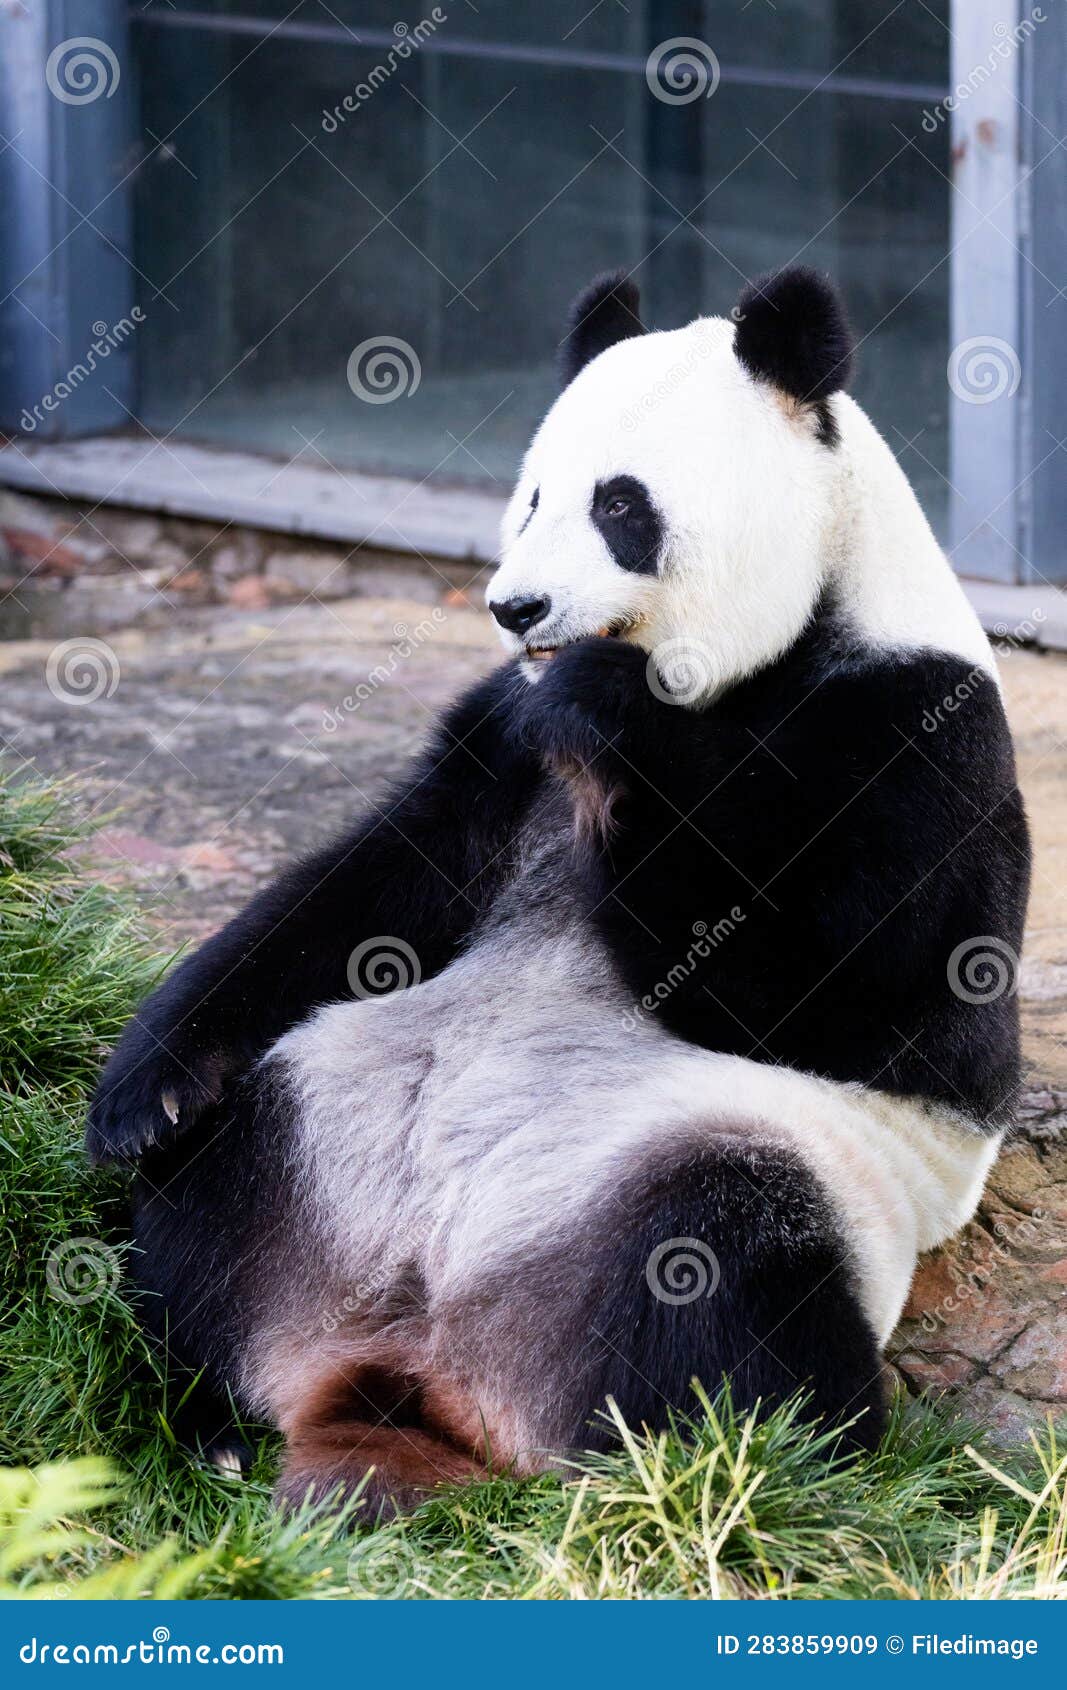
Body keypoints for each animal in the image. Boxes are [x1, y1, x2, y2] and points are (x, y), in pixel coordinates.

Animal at [87, 266, 1030, 1518]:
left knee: (723, 1280)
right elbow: (377, 886)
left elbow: (850, 991)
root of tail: (415, 1350)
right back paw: (207, 1421)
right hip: (313, 1126)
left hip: (733, 1176)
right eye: (531, 498)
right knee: (209, 1202)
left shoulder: (913, 727)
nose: (515, 608)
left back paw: (709, 1473)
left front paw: (612, 715)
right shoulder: (500, 737)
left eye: (620, 506)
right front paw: (139, 1093)